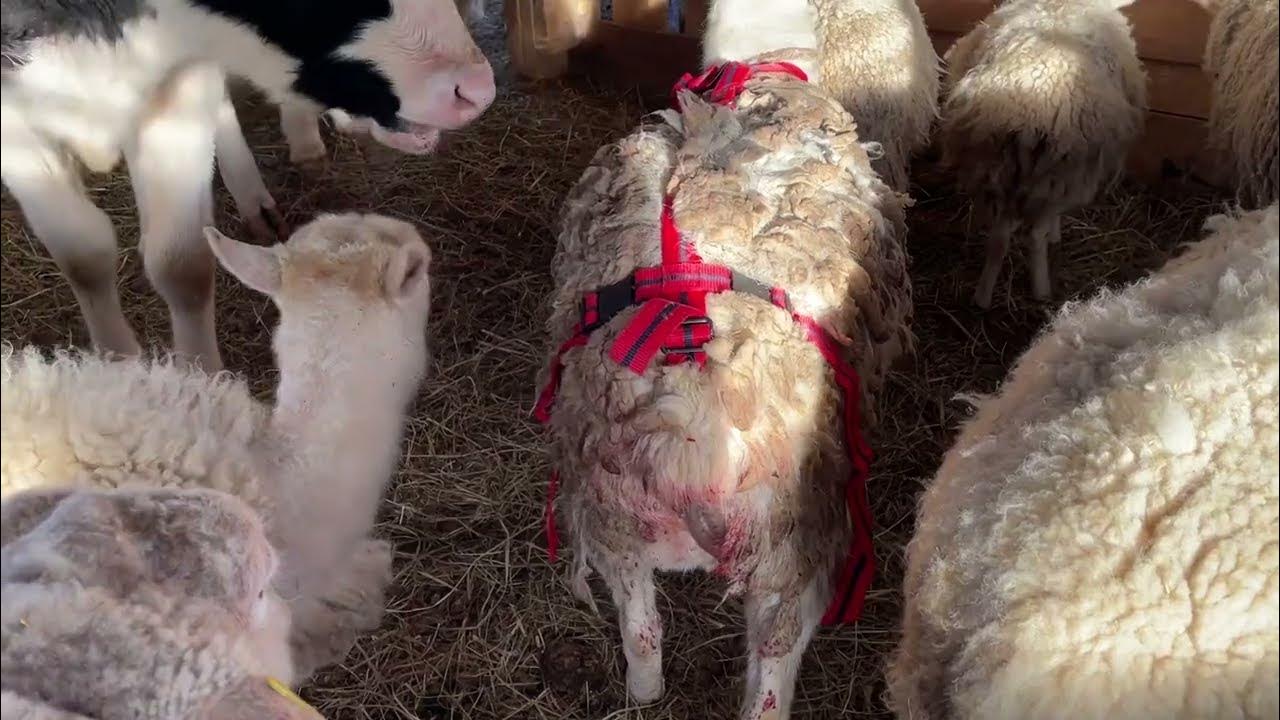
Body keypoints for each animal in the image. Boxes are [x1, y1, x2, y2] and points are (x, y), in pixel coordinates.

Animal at [534, 0, 913, 716]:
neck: (759, 65)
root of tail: (688, 423)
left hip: (612, 515)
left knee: (641, 629)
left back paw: (645, 691)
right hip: (787, 543)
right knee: (772, 662)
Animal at [939, 0, 1147, 308]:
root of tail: (1025, 111)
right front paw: (1055, 235)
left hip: (999, 168)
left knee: (999, 237)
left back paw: (983, 298)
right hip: (1056, 172)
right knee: (1033, 235)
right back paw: (1042, 290)